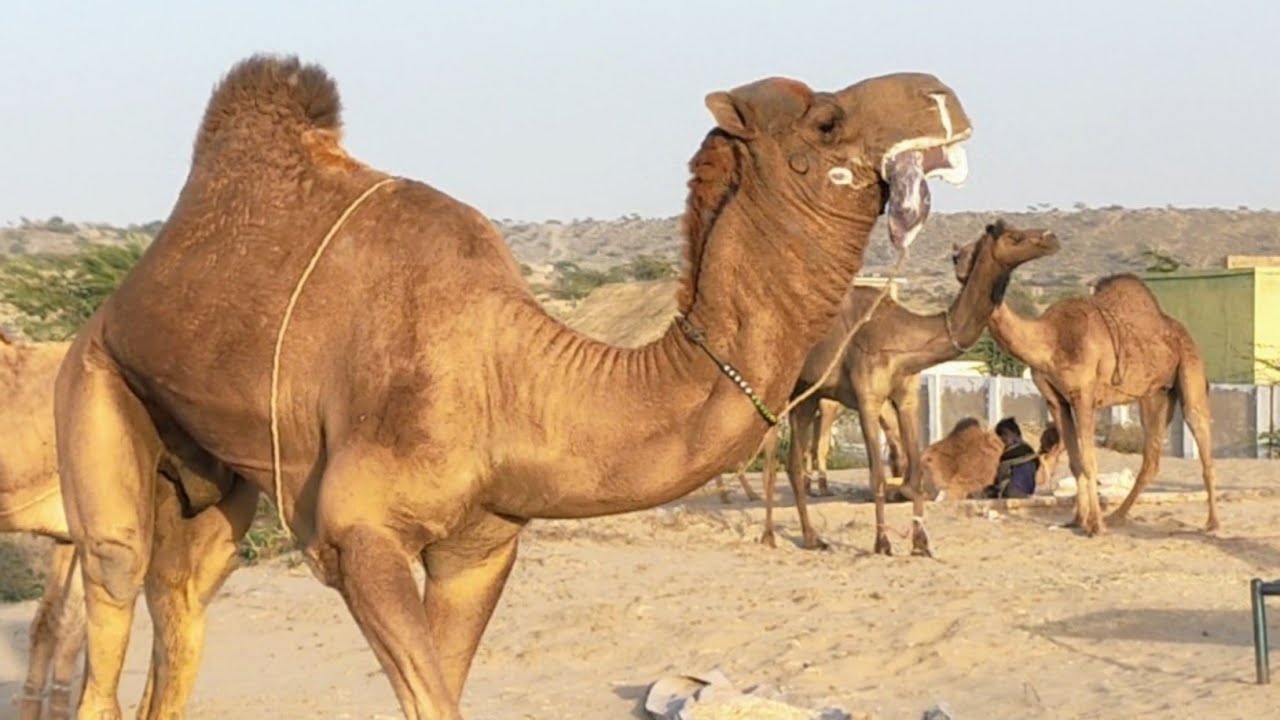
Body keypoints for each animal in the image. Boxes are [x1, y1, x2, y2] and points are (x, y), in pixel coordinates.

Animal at [53, 54, 972, 719]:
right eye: (826, 118)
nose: (943, 95)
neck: (514, 382)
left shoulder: (480, 548)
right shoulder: (360, 536)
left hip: (211, 483)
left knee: (182, 608)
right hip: (93, 379)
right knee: (113, 584)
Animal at [757, 220, 1060, 555]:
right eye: (1015, 237)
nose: (1051, 238)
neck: (902, 338)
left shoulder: (906, 397)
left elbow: (914, 475)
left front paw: (921, 544)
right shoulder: (868, 398)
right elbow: (877, 476)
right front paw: (883, 543)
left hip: (806, 393)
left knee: (793, 462)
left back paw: (811, 538)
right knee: (771, 457)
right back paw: (769, 536)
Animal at [954, 221, 1219, 536]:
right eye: (1014, 236)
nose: (1051, 237)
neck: (1049, 340)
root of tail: (1181, 330)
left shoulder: (1084, 396)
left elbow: (1090, 462)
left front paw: (1096, 526)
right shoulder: (1056, 400)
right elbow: (1075, 462)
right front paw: (1077, 520)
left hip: (1190, 369)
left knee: (1200, 434)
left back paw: (1212, 523)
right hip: (1155, 396)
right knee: (1151, 458)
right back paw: (1118, 515)